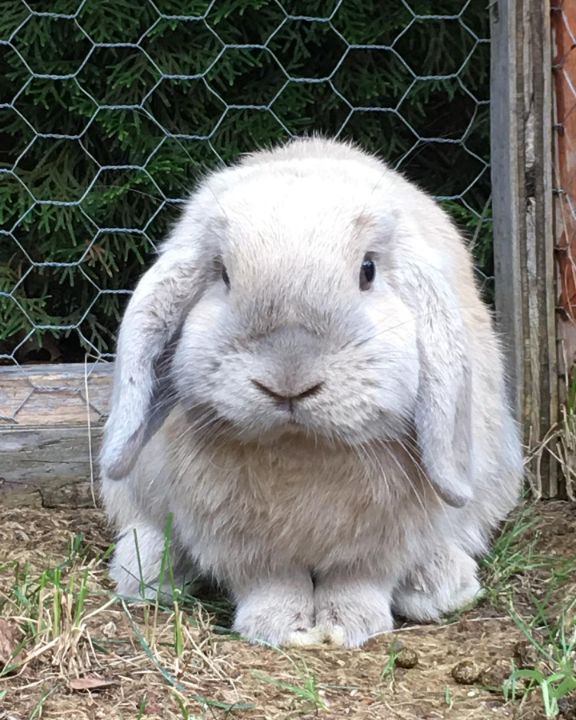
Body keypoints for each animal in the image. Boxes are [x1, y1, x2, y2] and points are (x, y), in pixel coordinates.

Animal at [100, 137, 522, 648]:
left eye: (367, 270)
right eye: (223, 275)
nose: (289, 380)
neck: (302, 450)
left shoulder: (383, 543)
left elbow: (359, 581)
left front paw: (348, 626)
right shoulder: (239, 541)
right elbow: (270, 582)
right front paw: (281, 628)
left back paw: (441, 585)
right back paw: (146, 573)